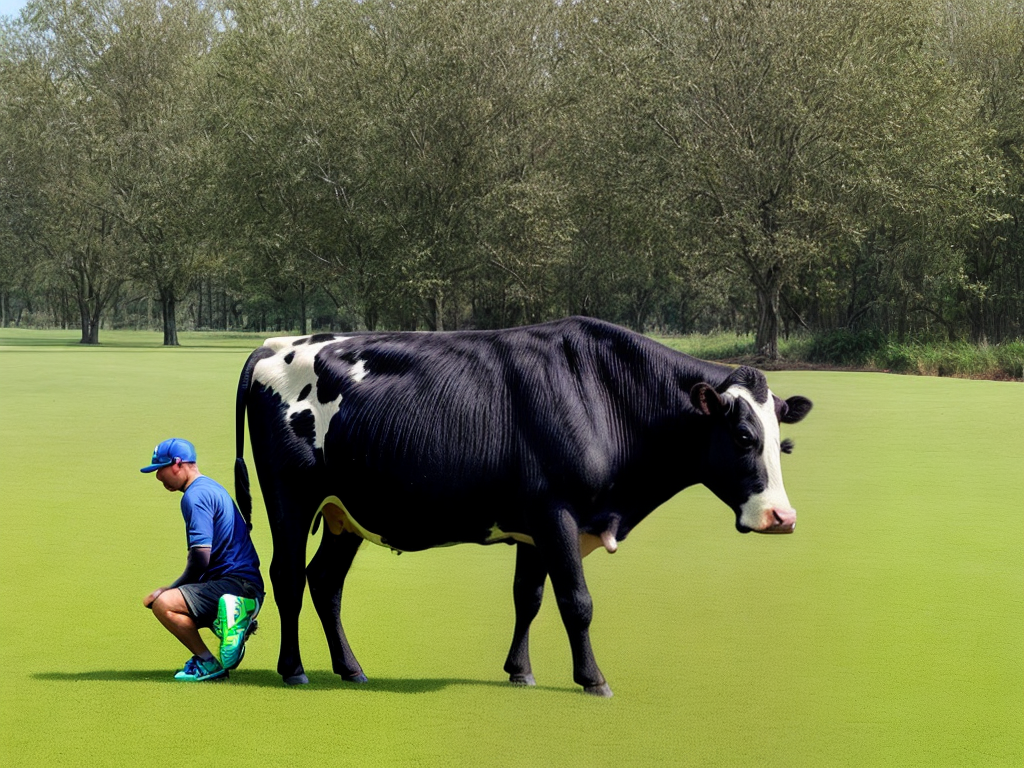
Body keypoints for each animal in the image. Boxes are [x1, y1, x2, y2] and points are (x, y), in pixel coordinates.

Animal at [234, 316, 812, 696]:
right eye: (742, 436)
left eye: (783, 444)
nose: (781, 518)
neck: (605, 396)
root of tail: (275, 345)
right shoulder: (557, 513)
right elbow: (576, 601)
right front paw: (593, 679)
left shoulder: (535, 526)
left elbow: (528, 598)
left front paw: (520, 671)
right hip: (290, 497)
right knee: (287, 575)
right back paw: (293, 669)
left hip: (345, 513)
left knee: (325, 581)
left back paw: (350, 668)